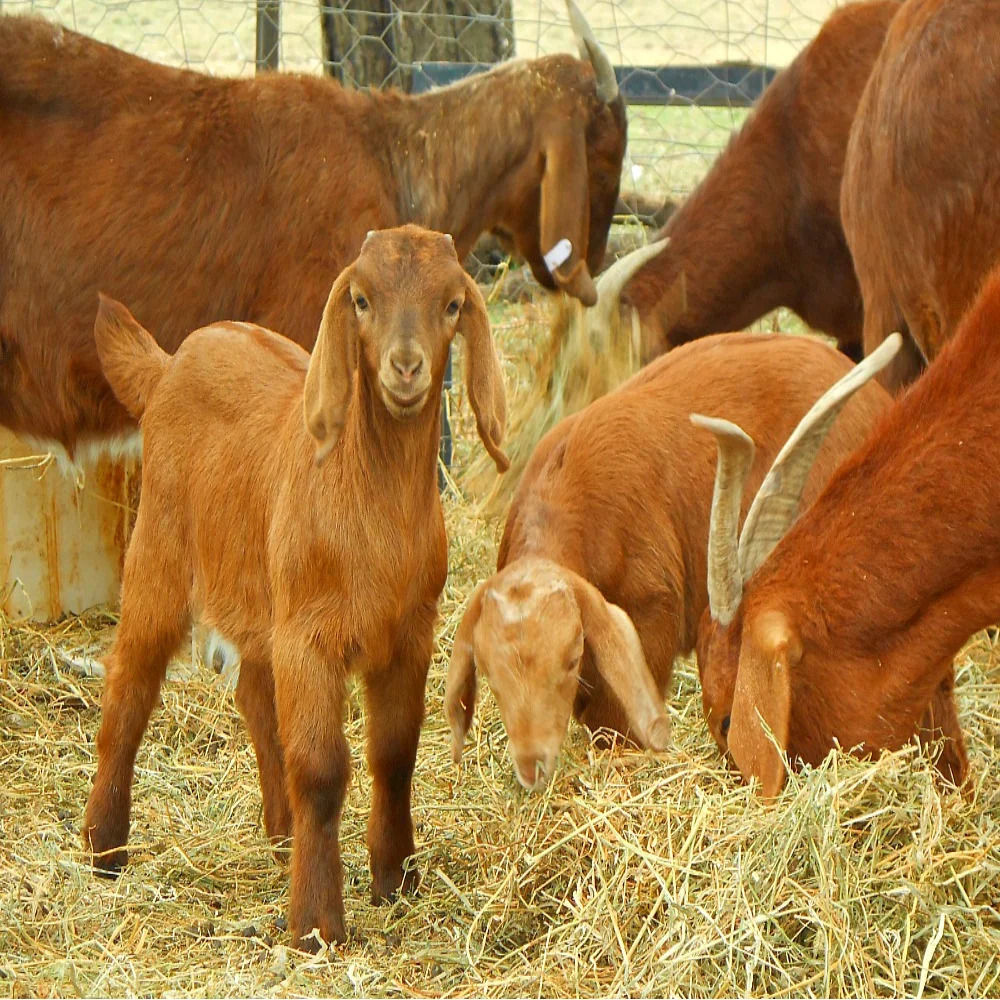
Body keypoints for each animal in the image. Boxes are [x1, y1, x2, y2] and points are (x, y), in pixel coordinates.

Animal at [82, 225, 510, 950]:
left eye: (452, 305)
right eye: (360, 299)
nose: (405, 367)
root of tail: (168, 366)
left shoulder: (409, 633)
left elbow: (395, 753)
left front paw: (395, 877)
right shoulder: (310, 637)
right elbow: (321, 768)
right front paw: (316, 923)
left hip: (261, 592)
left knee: (255, 697)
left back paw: (281, 836)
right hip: (159, 551)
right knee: (130, 683)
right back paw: (104, 847)